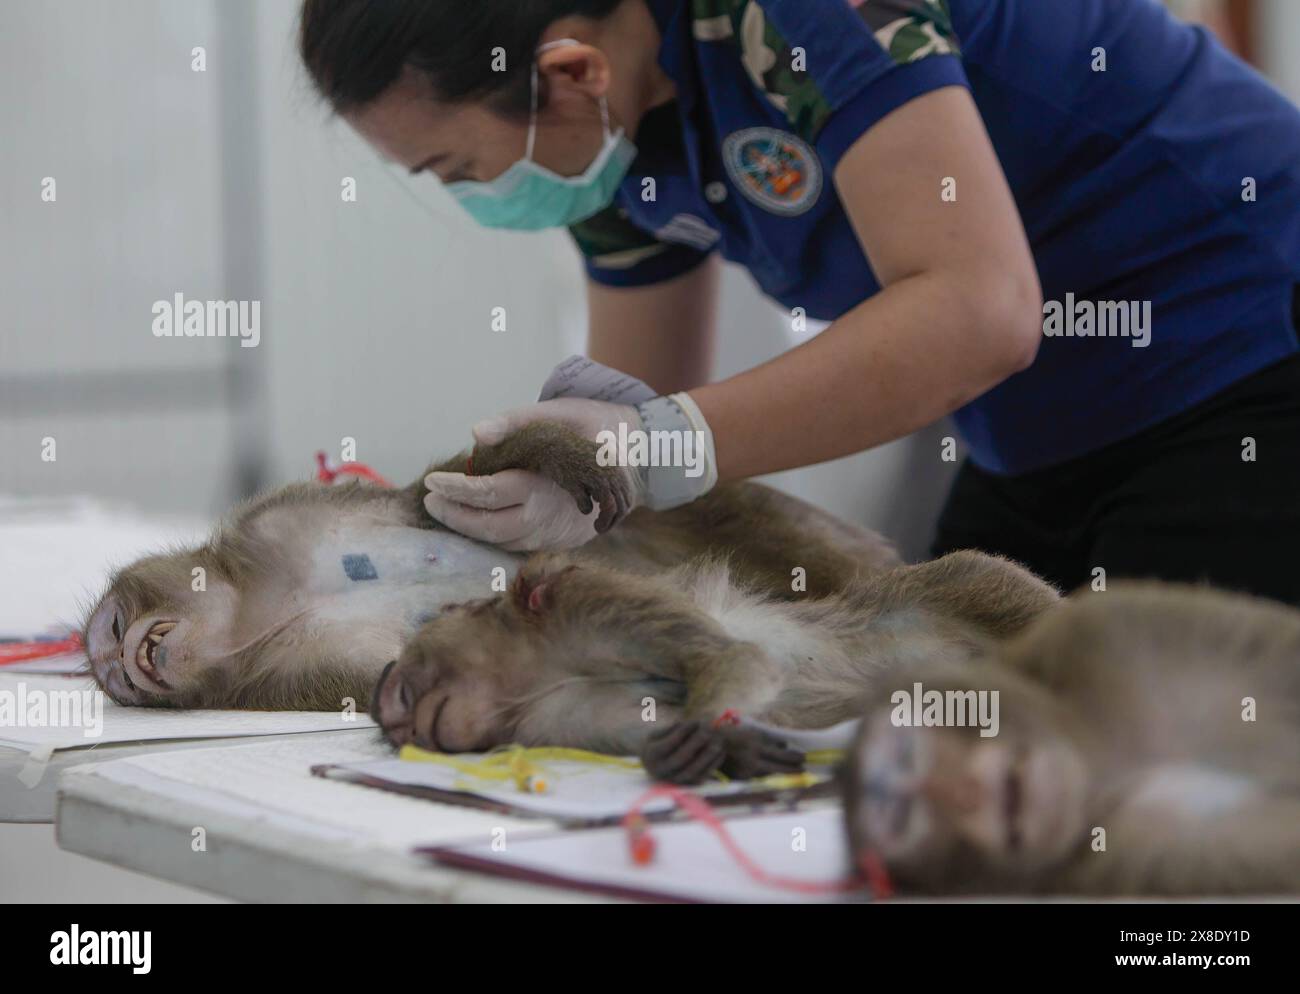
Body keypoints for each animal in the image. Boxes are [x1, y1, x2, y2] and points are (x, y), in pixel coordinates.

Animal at [83, 421, 906, 711]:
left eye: (115, 628)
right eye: (108, 673)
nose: (120, 664)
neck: (266, 606)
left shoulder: (280, 522)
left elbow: (433, 496)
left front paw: (555, 458)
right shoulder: (289, 676)